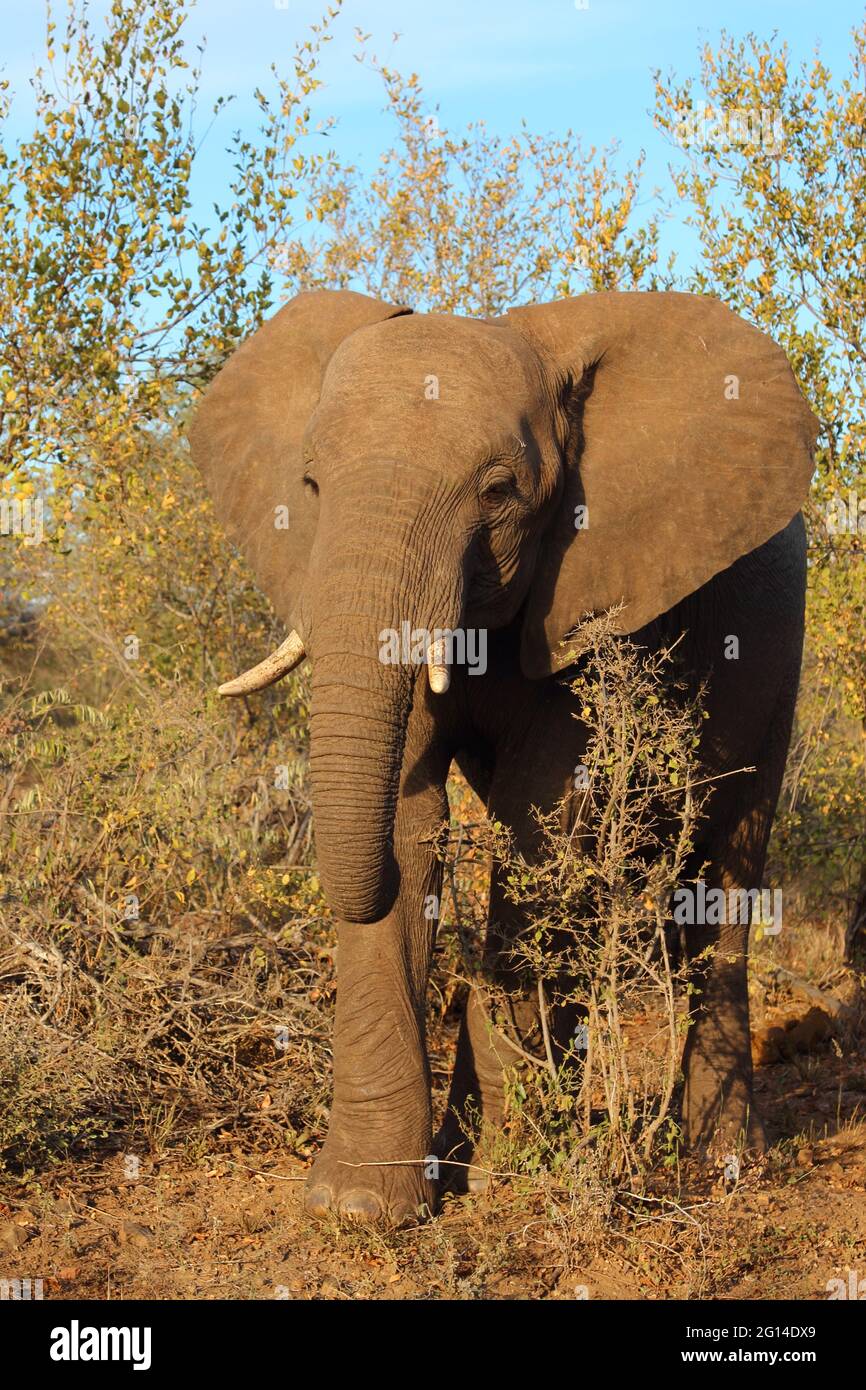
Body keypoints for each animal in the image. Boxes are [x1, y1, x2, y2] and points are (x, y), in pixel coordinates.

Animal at [187, 288, 818, 1224]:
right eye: (309, 487)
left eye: (497, 491)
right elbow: (406, 820)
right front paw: (359, 1204)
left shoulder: (586, 593)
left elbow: (543, 823)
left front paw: (492, 1173)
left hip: (777, 658)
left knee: (723, 873)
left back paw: (718, 1159)